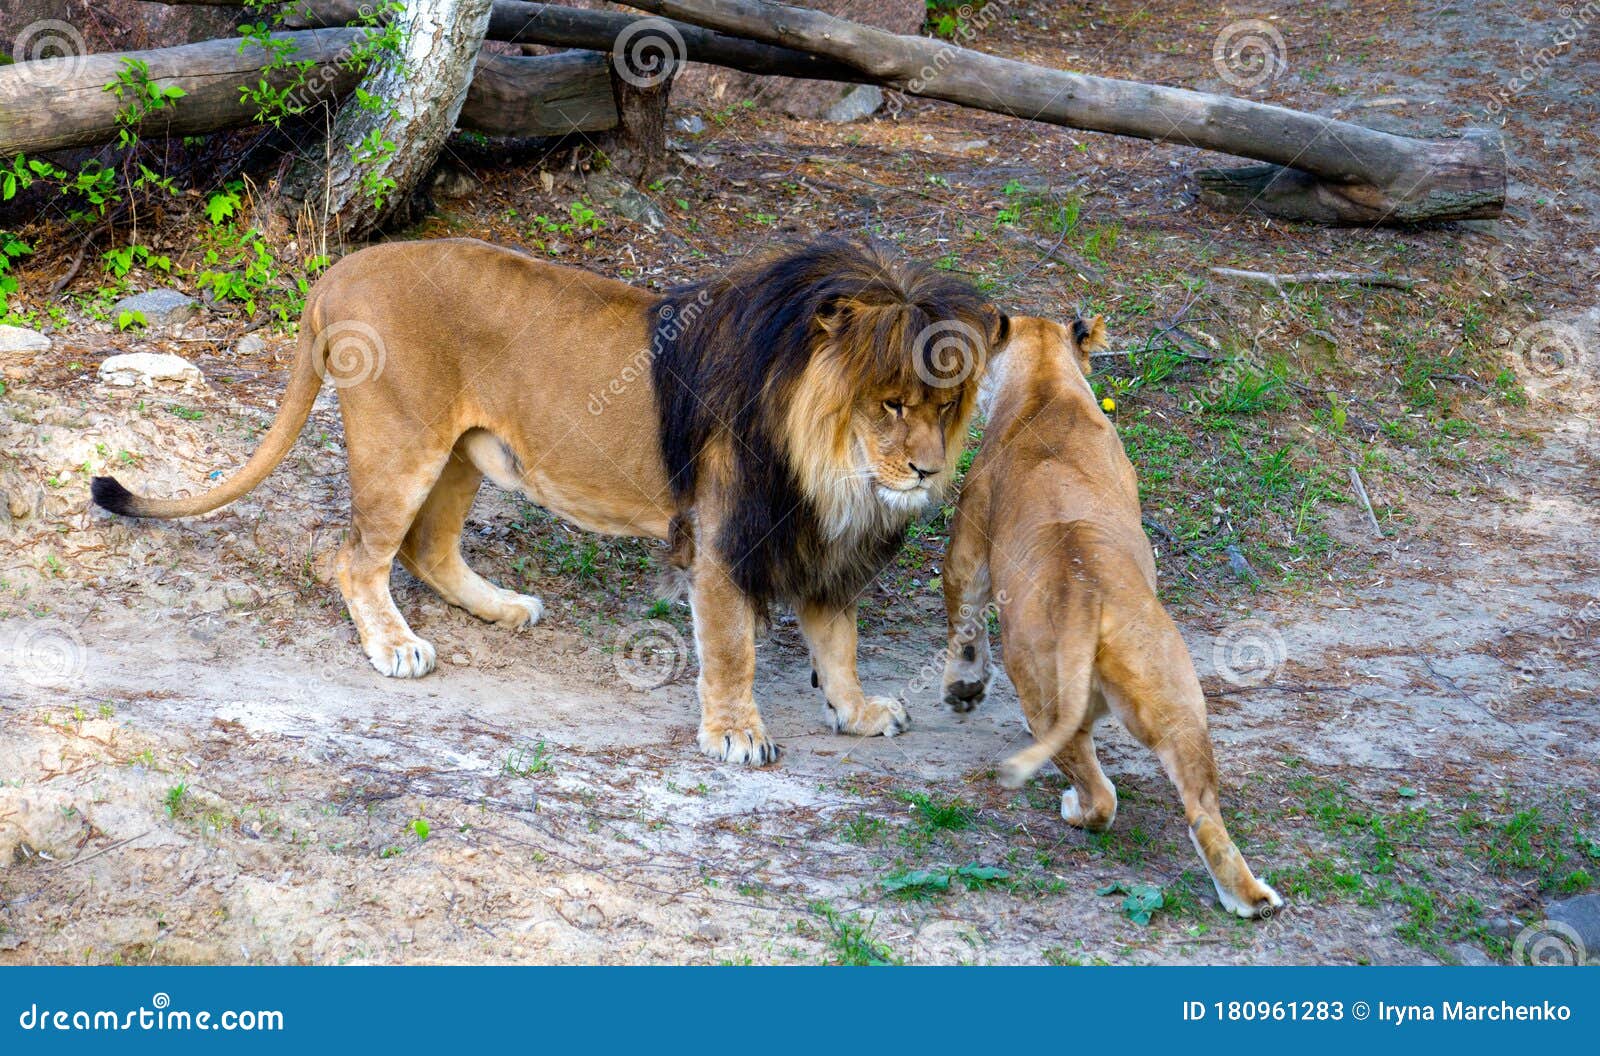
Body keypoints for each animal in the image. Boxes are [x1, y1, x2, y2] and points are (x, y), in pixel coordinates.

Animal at [92, 237, 1004, 765]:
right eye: (890, 403)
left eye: (947, 408)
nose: (926, 473)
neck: (830, 465)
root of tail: (337, 271)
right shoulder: (727, 535)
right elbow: (732, 648)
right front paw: (737, 734)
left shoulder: (813, 538)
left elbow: (837, 639)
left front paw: (857, 712)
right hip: (402, 443)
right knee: (353, 557)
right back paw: (397, 646)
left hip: (466, 449)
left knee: (425, 548)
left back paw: (504, 608)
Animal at [939, 315, 1283, 917]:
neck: (1047, 384)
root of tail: (1087, 597)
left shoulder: (969, 546)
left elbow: (965, 624)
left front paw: (964, 689)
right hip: (1175, 696)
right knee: (1202, 812)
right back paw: (1250, 898)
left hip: (1045, 692)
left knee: (1101, 796)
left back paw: (1073, 808)